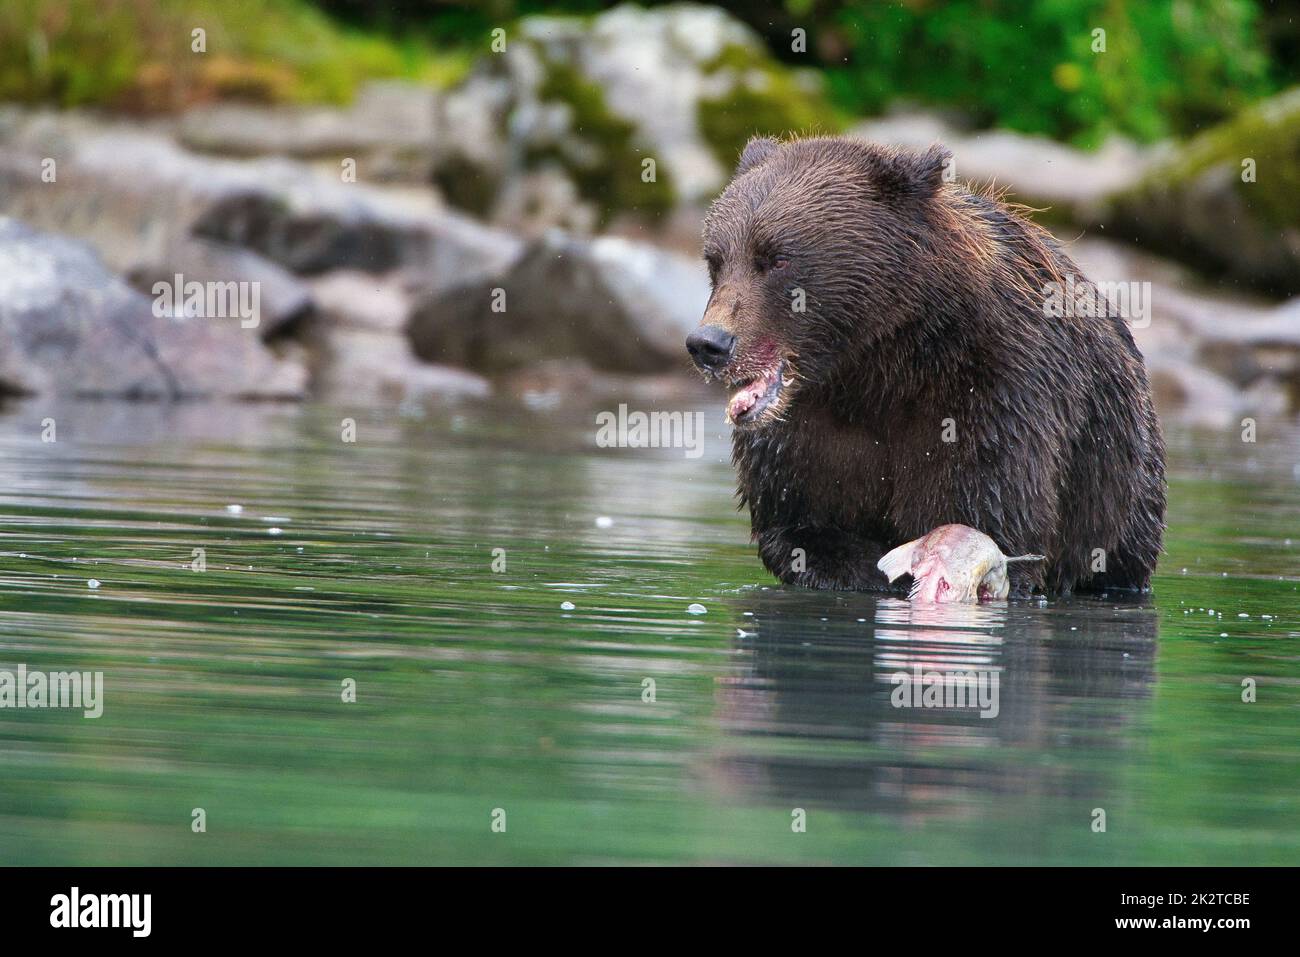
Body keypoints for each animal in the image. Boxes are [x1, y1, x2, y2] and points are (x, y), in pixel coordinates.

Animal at [686, 135, 1166, 596]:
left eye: (777, 258)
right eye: (716, 260)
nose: (709, 343)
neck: (880, 365)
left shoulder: (994, 390)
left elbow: (993, 511)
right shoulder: (803, 430)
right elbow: (802, 529)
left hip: (1121, 488)